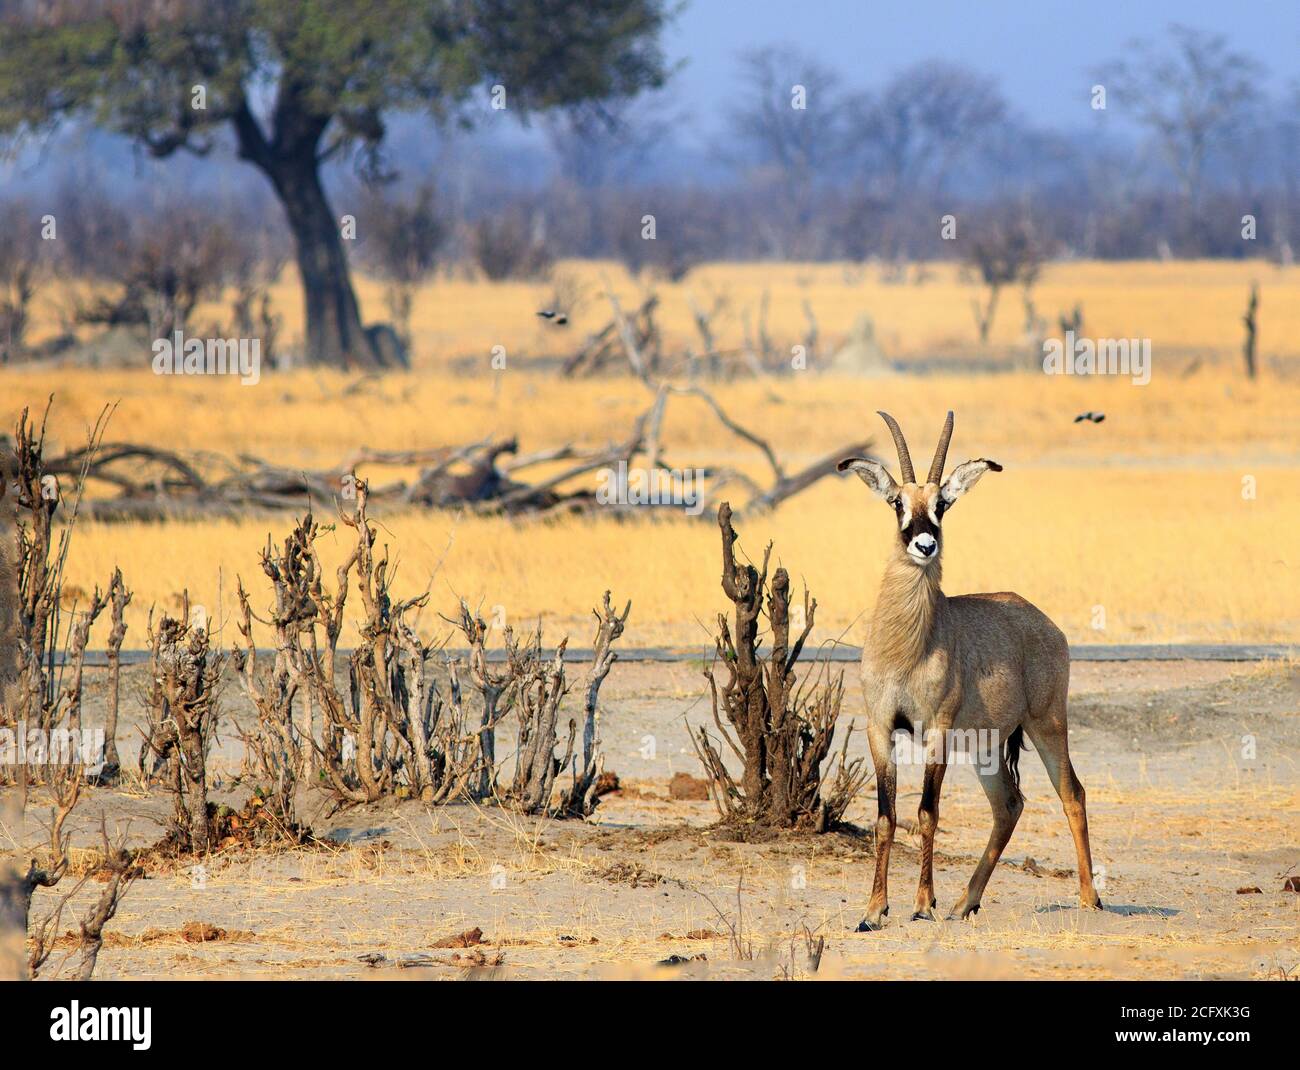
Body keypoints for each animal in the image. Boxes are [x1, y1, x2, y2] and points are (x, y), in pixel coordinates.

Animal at [837, 411, 1101, 930]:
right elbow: (885, 816)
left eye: (942, 503)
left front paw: (922, 904)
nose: (925, 544)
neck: (907, 646)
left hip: (1047, 724)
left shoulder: (936, 729)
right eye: (897, 501)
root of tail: (1044, 623)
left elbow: (926, 812)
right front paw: (873, 910)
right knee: (1009, 805)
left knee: (1072, 794)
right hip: (987, 745)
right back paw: (965, 901)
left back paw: (1088, 898)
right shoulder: (880, 727)